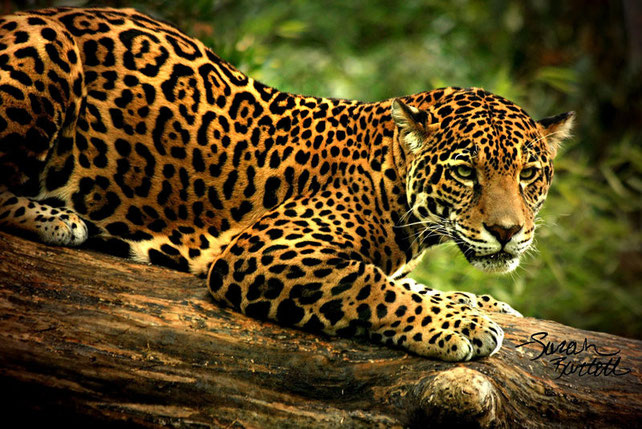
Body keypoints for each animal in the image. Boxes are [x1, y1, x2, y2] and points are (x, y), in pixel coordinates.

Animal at [0, 7, 574, 361]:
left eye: (528, 174)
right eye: (464, 171)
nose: (507, 232)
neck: (390, 177)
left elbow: (409, 282)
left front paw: (478, 304)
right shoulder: (269, 249)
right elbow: (374, 286)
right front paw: (457, 326)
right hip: (50, 46)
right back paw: (57, 219)